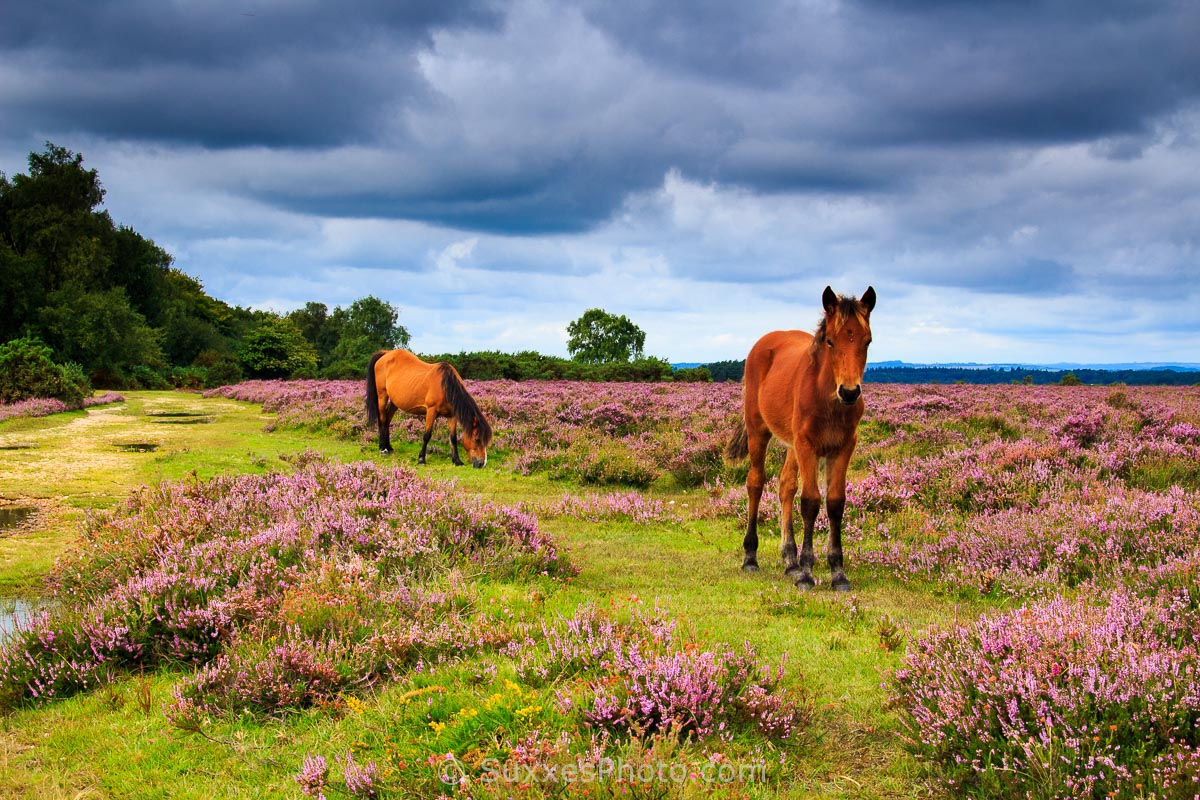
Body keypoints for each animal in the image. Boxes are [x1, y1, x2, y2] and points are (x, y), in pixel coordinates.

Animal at [725, 286, 876, 591]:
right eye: (830, 341)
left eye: (867, 341)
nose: (850, 392)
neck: (827, 399)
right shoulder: (808, 446)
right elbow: (810, 502)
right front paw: (807, 573)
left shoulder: (842, 448)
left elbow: (835, 503)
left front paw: (837, 573)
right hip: (759, 432)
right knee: (756, 483)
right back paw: (751, 557)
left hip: (792, 445)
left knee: (786, 486)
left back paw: (790, 560)